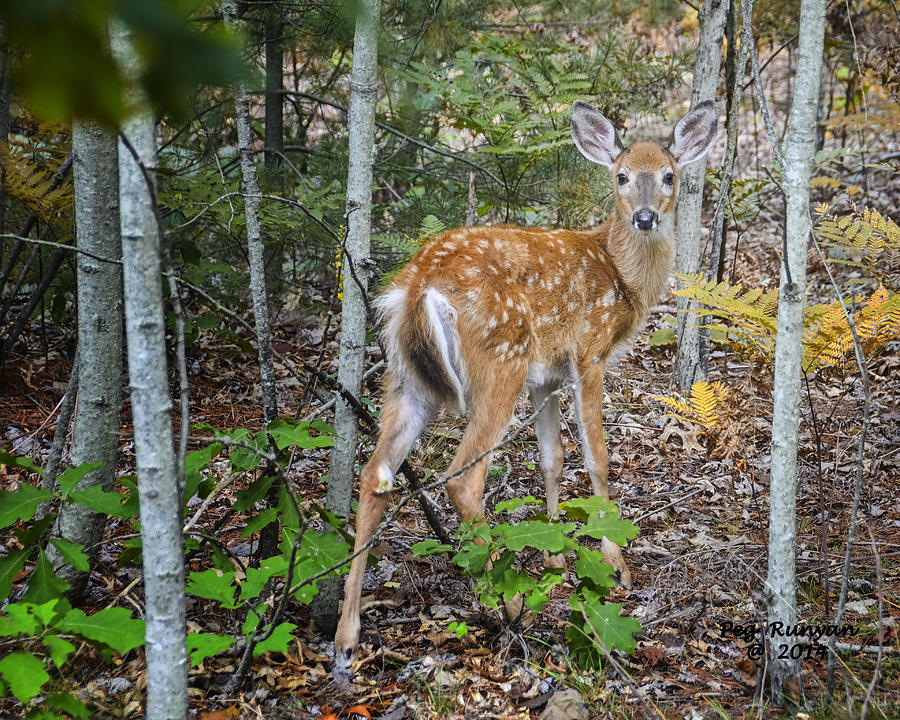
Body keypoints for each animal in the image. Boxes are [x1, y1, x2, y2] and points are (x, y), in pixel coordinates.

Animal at [333, 100, 718, 669]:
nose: (646, 216)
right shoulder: (588, 353)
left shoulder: (547, 378)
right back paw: (510, 603)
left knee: (375, 473)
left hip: (408, 378)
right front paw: (616, 565)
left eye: (669, 175)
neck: (621, 279)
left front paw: (556, 553)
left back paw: (347, 633)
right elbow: (597, 459)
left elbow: (552, 459)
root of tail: (419, 285)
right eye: (622, 176)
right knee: (462, 479)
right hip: (500, 359)